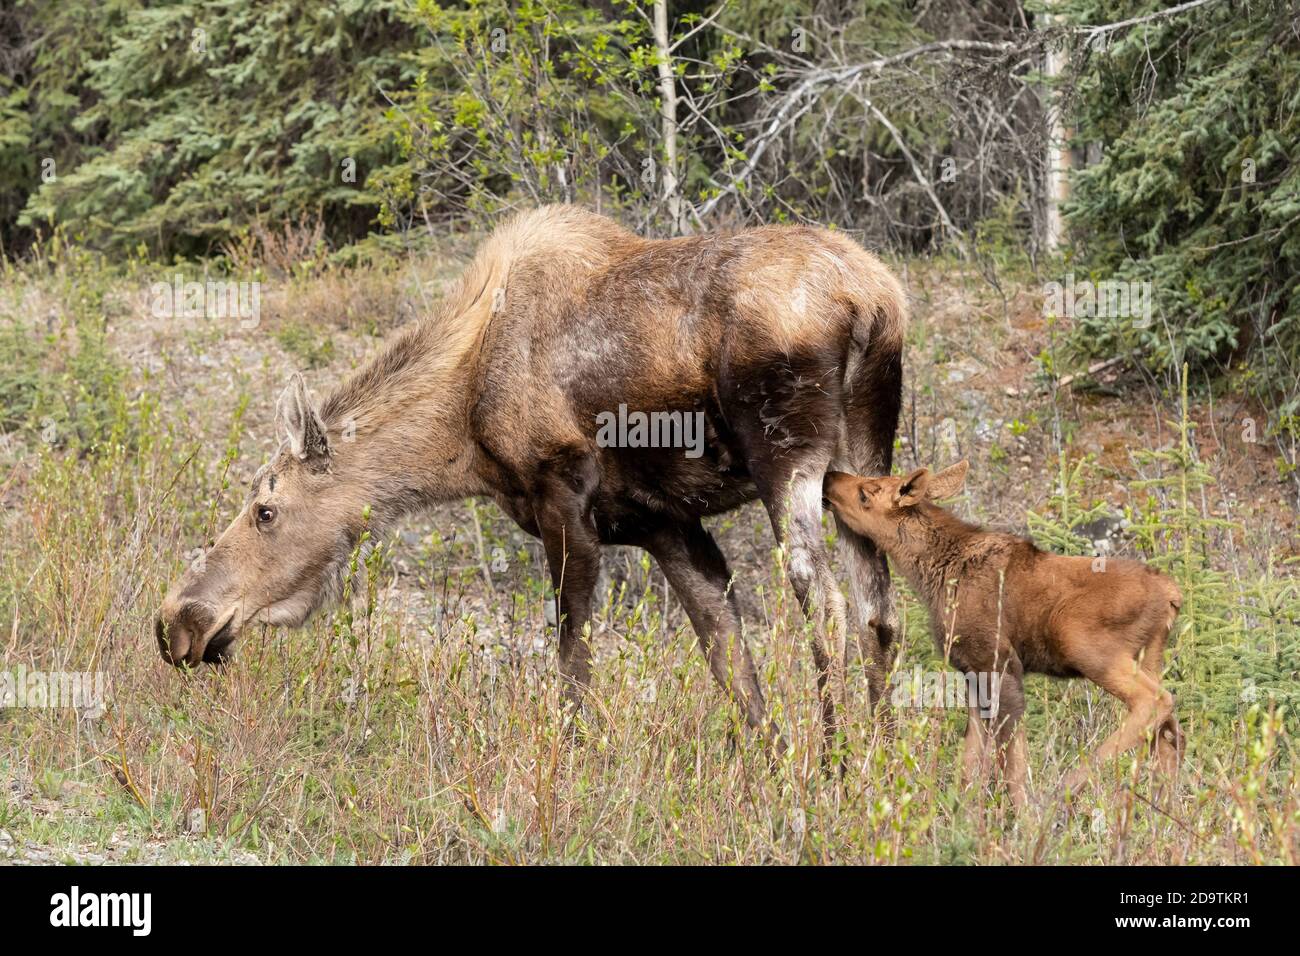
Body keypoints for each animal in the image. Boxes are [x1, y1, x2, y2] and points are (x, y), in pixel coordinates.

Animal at [155, 205, 909, 760]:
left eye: (265, 511)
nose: (178, 621)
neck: (460, 429)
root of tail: (874, 298)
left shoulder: (563, 495)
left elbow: (574, 655)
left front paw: (577, 761)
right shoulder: (661, 522)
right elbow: (726, 651)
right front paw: (768, 766)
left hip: (786, 453)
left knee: (827, 602)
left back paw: (838, 764)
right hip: (867, 452)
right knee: (879, 609)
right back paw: (886, 763)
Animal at [824, 461, 1184, 805]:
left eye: (866, 492)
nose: (828, 477)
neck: (935, 575)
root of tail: (1172, 594)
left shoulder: (1000, 663)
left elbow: (1013, 767)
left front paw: (1023, 818)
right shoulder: (971, 671)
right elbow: (970, 766)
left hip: (1081, 641)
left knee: (1156, 701)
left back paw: (1067, 789)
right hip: (1149, 656)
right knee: (1170, 735)